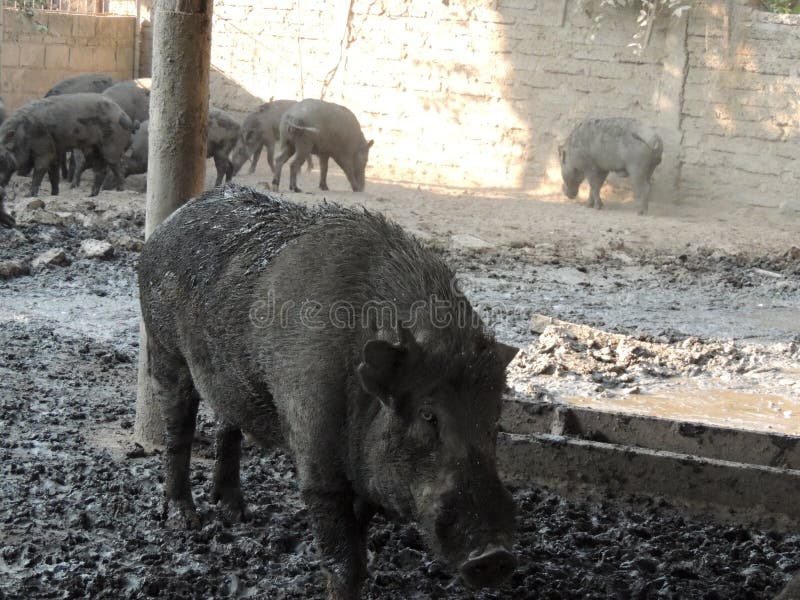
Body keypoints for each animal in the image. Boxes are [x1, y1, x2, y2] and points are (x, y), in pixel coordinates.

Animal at [0, 93, 137, 197]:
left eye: (1, 157)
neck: (23, 135)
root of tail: (126, 117)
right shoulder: (55, 152)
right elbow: (53, 173)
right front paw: (54, 194)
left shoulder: (44, 148)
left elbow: (40, 168)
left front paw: (28, 195)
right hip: (94, 150)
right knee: (100, 171)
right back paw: (91, 195)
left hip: (112, 147)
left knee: (117, 166)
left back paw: (120, 190)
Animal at [138, 184, 519, 599]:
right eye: (428, 414)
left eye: (495, 421)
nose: (496, 555)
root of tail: (167, 224)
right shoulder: (314, 449)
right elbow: (342, 557)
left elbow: (359, 533)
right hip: (164, 347)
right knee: (179, 431)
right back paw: (185, 521)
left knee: (229, 424)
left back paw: (237, 515)